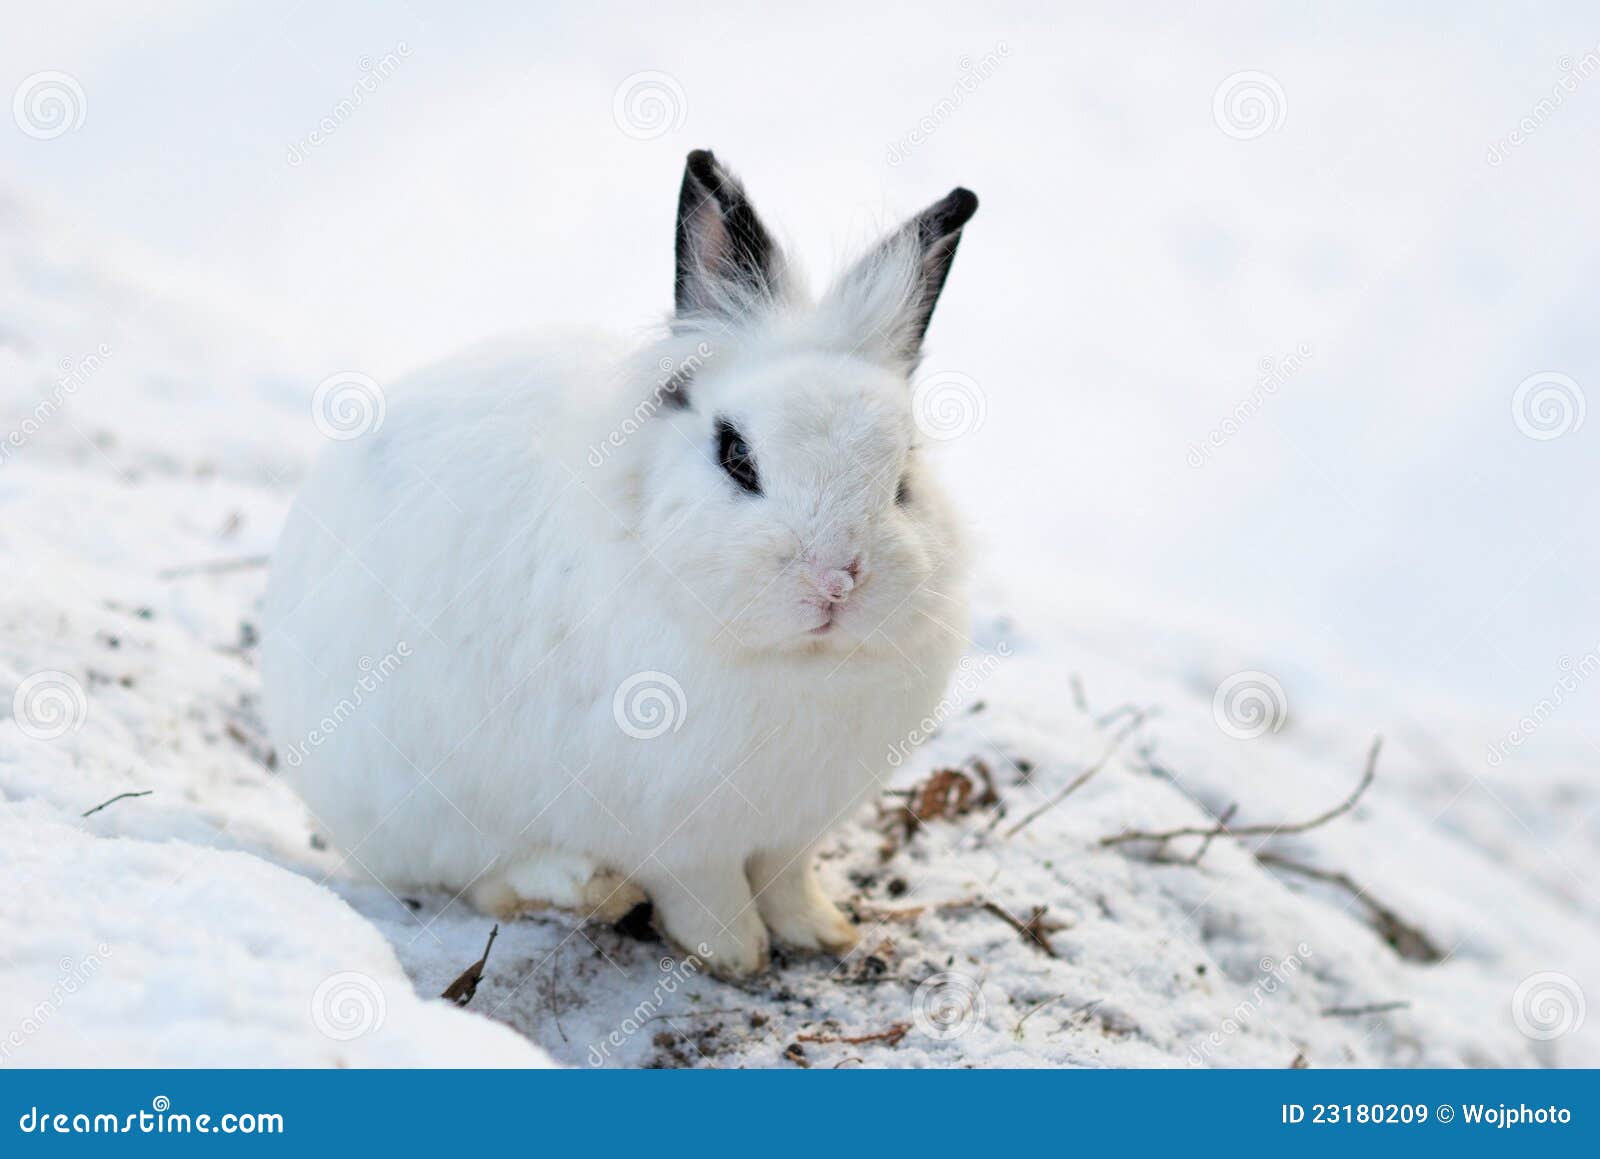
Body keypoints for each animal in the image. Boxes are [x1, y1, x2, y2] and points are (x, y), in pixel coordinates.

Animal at [260, 150, 978, 978]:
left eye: (904, 476)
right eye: (736, 457)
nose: (836, 579)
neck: (793, 661)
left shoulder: (793, 833)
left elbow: (788, 879)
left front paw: (824, 932)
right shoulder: (681, 837)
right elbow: (705, 892)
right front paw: (734, 954)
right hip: (425, 809)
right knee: (479, 878)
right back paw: (592, 889)